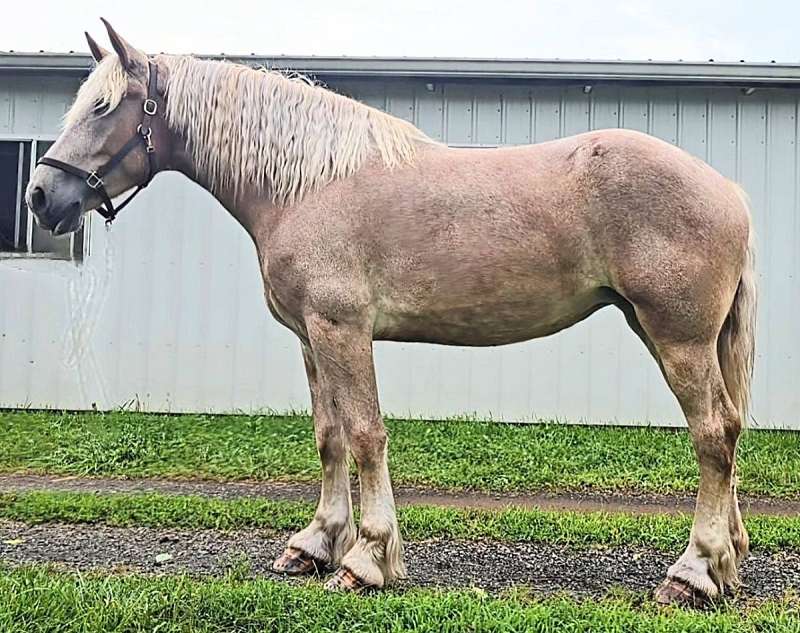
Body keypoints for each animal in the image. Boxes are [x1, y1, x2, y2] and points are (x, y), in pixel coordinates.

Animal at [27, 20, 756, 605]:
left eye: (105, 107)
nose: (39, 196)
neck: (307, 185)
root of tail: (728, 189)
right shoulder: (310, 338)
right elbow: (328, 436)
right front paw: (314, 544)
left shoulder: (342, 330)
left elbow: (365, 435)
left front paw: (367, 559)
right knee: (728, 430)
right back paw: (727, 560)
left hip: (678, 338)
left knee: (713, 434)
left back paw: (692, 573)